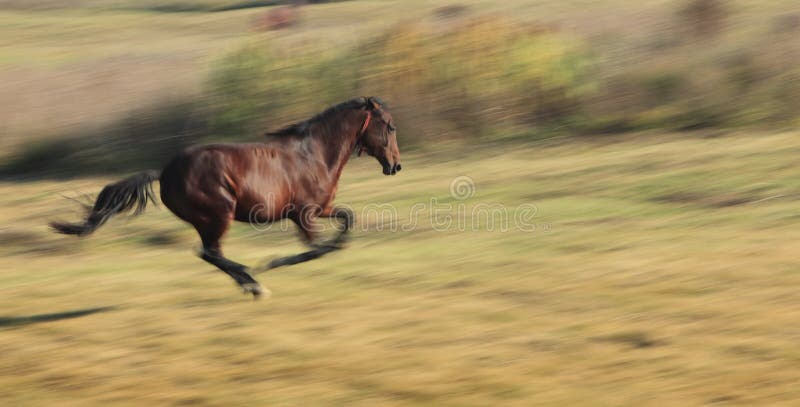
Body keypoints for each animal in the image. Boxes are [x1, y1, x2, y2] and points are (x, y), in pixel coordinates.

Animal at [50, 96, 401, 298]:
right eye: (390, 126)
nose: (396, 166)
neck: (313, 154)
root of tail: (164, 173)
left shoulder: (320, 209)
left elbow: (347, 220)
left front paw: (339, 245)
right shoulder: (302, 214)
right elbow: (315, 250)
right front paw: (270, 264)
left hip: (210, 219)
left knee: (209, 252)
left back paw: (248, 281)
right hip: (219, 213)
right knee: (209, 252)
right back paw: (252, 280)